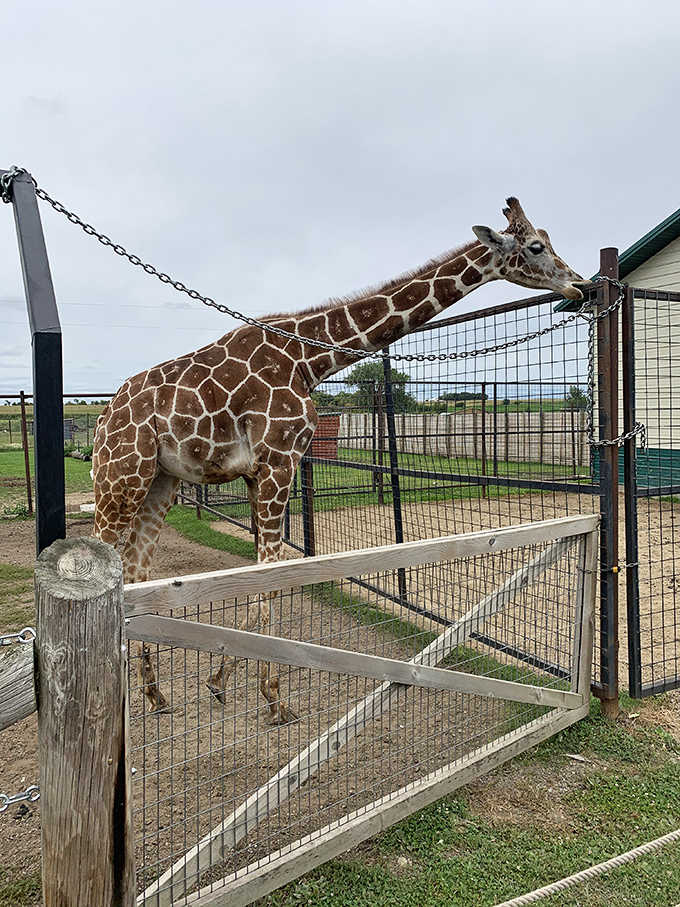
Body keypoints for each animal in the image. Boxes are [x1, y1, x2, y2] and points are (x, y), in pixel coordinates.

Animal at [93, 197, 587, 720]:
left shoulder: (259, 473)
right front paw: (273, 699)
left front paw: (220, 682)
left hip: (160, 482)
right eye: (535, 246)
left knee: (135, 572)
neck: (310, 359)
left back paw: (154, 694)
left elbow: (258, 579)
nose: (577, 283)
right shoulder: (278, 463)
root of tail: (104, 416)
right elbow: (270, 580)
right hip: (119, 476)